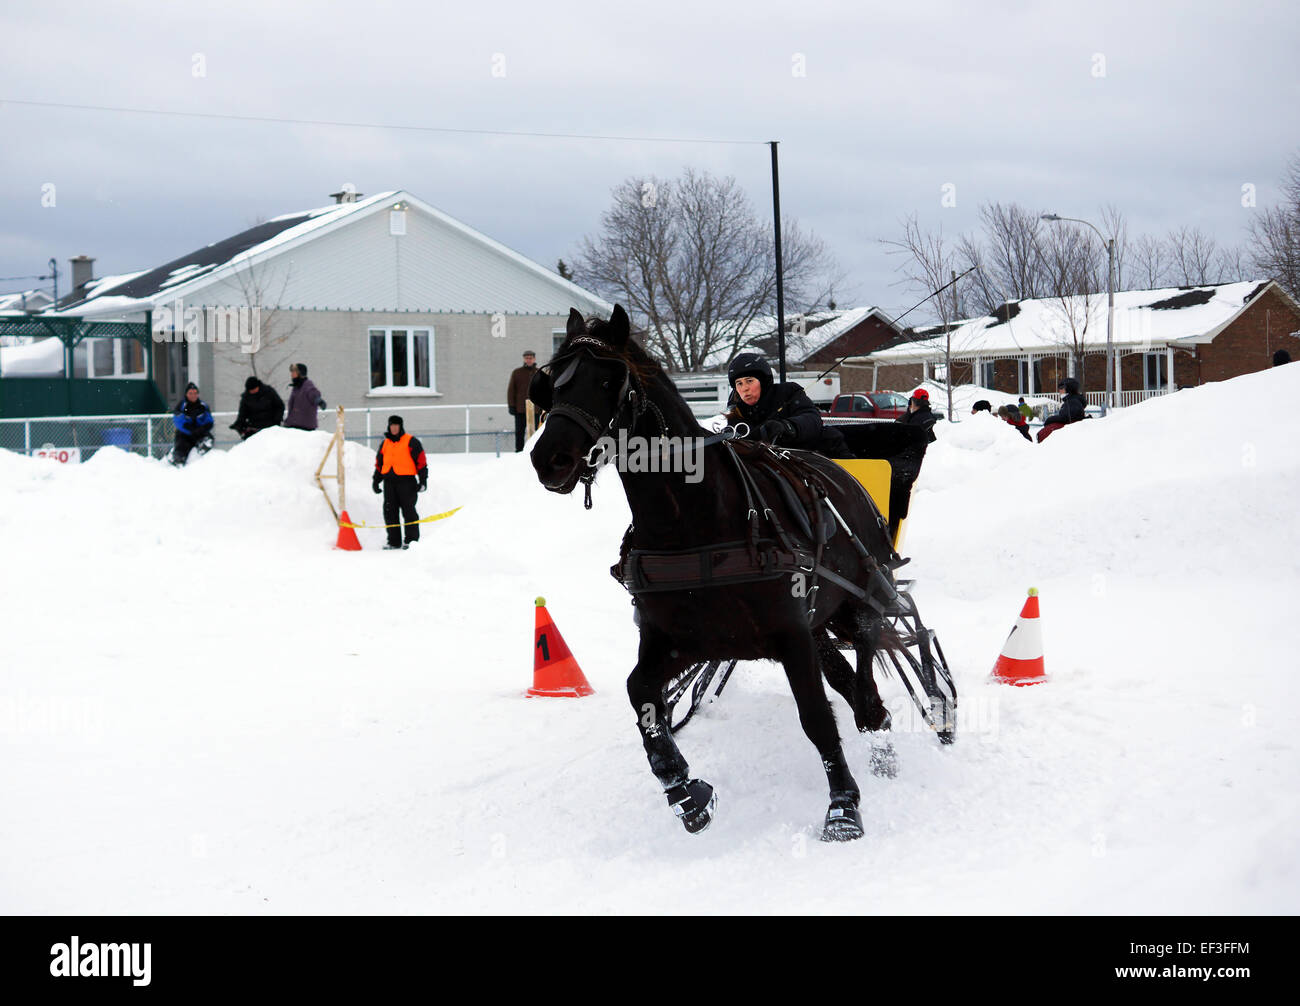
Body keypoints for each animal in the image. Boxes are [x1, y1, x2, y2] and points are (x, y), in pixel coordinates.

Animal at [530, 305, 905, 841]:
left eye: (607, 379)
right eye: (553, 383)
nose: (549, 459)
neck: (691, 520)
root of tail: (845, 476)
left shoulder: (791, 633)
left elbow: (815, 717)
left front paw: (843, 808)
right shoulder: (678, 639)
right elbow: (642, 697)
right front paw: (685, 791)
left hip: (861, 593)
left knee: (870, 646)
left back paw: (874, 717)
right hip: (819, 623)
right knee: (844, 673)